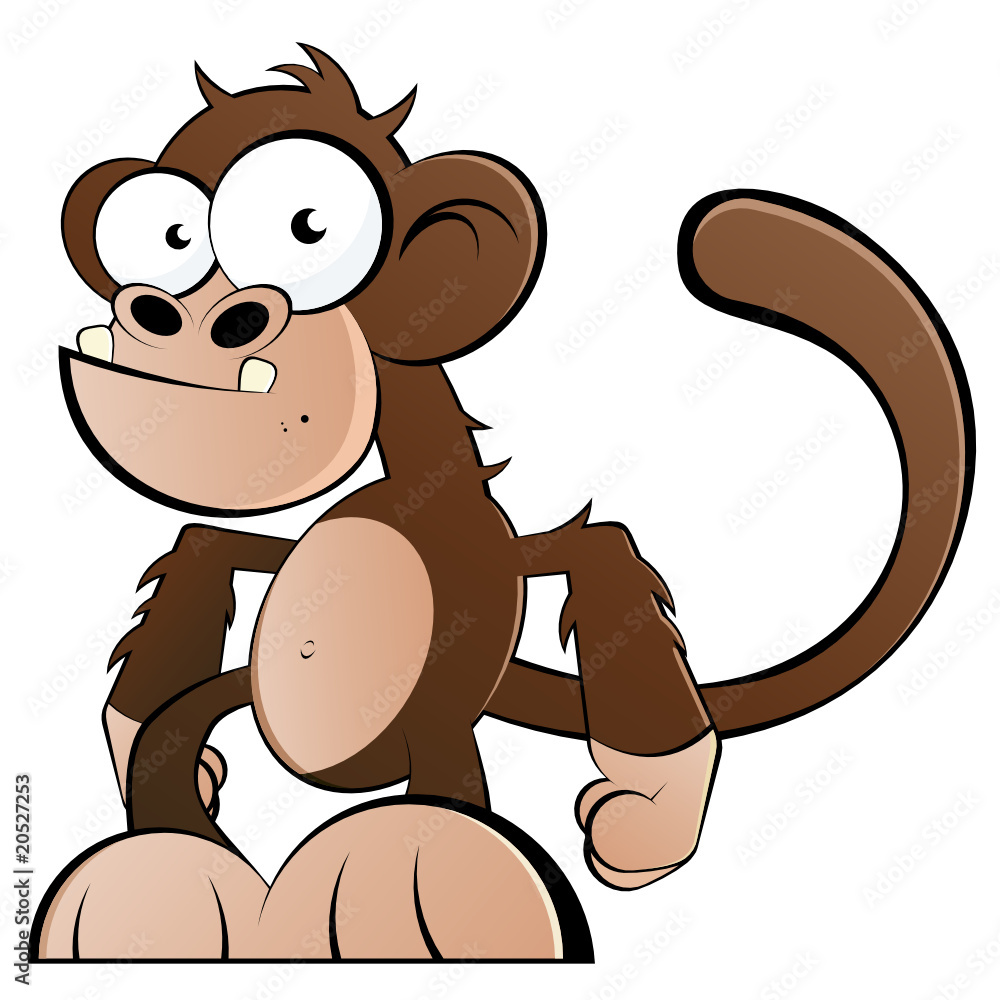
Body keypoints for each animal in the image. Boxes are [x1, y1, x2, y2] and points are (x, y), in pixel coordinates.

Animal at [31, 45, 973, 961]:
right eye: (165, 234)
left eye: (311, 226)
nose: (169, 317)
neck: (425, 501)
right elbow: (192, 582)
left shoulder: (447, 698)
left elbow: (598, 563)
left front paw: (634, 827)